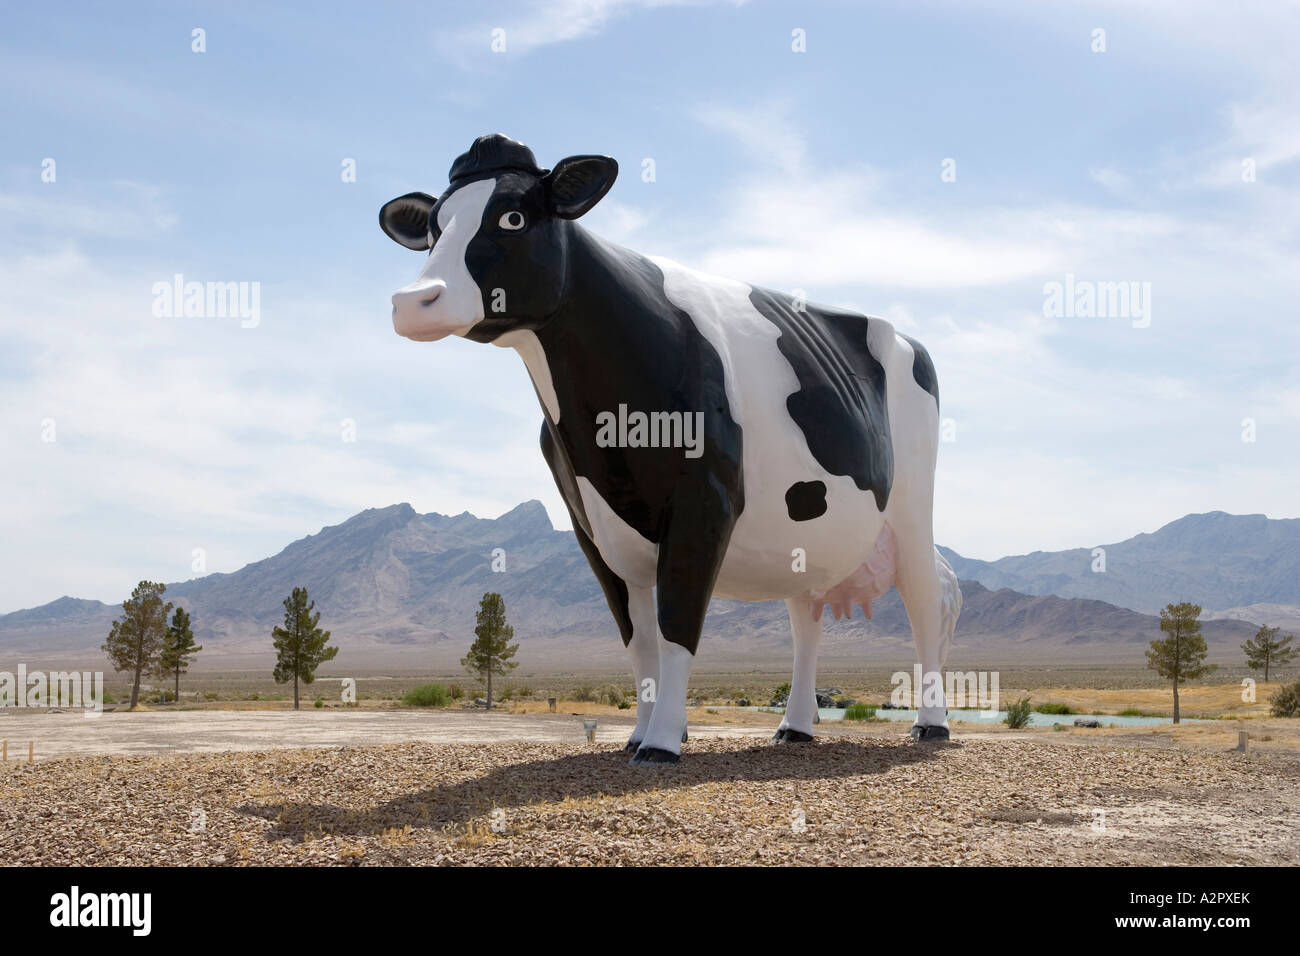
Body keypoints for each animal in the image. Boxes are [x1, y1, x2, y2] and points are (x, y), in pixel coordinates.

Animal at [380, 134, 962, 764]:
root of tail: (906, 338)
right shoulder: (590, 528)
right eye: (434, 229)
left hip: (912, 508)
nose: (413, 300)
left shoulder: (704, 501)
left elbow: (678, 622)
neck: (600, 434)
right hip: (808, 533)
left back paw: (931, 725)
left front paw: (661, 742)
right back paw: (794, 727)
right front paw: (637, 733)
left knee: (924, 602)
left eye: (514, 217)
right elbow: (638, 639)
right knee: (805, 618)